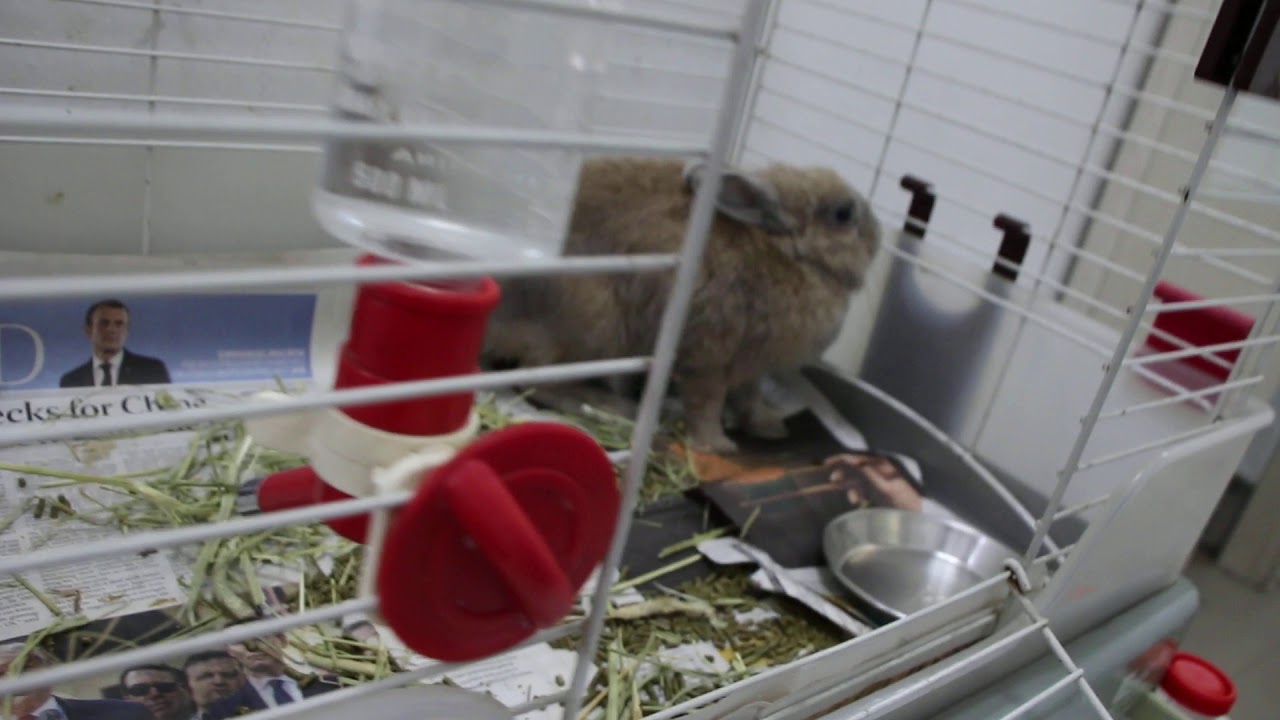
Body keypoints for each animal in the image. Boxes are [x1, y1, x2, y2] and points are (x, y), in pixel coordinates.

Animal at [482, 155, 881, 454]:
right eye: (843, 213)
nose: (877, 235)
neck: (786, 252)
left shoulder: (750, 367)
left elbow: (749, 398)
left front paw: (770, 427)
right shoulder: (708, 360)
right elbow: (706, 405)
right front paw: (718, 446)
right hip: (592, 329)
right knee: (539, 382)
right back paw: (614, 407)